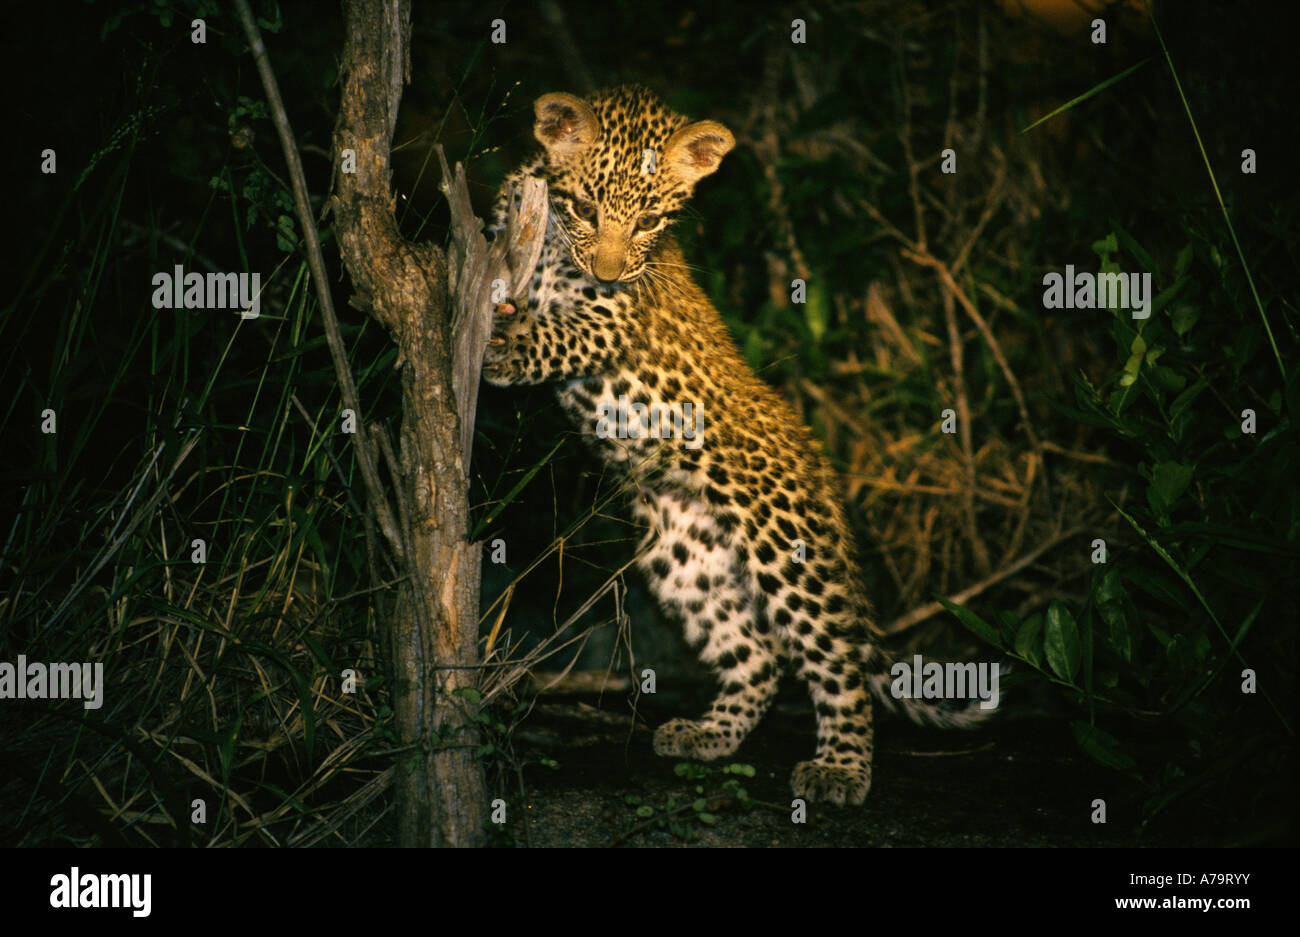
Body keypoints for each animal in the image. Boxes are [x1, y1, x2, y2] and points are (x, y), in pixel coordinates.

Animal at [482, 84, 993, 806]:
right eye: (583, 207)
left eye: (649, 220)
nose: (608, 271)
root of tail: (821, 467)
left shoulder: (612, 319)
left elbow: (562, 331)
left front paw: (510, 343)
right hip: (685, 555)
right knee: (760, 656)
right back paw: (708, 734)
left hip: (786, 547)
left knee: (836, 666)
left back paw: (841, 769)